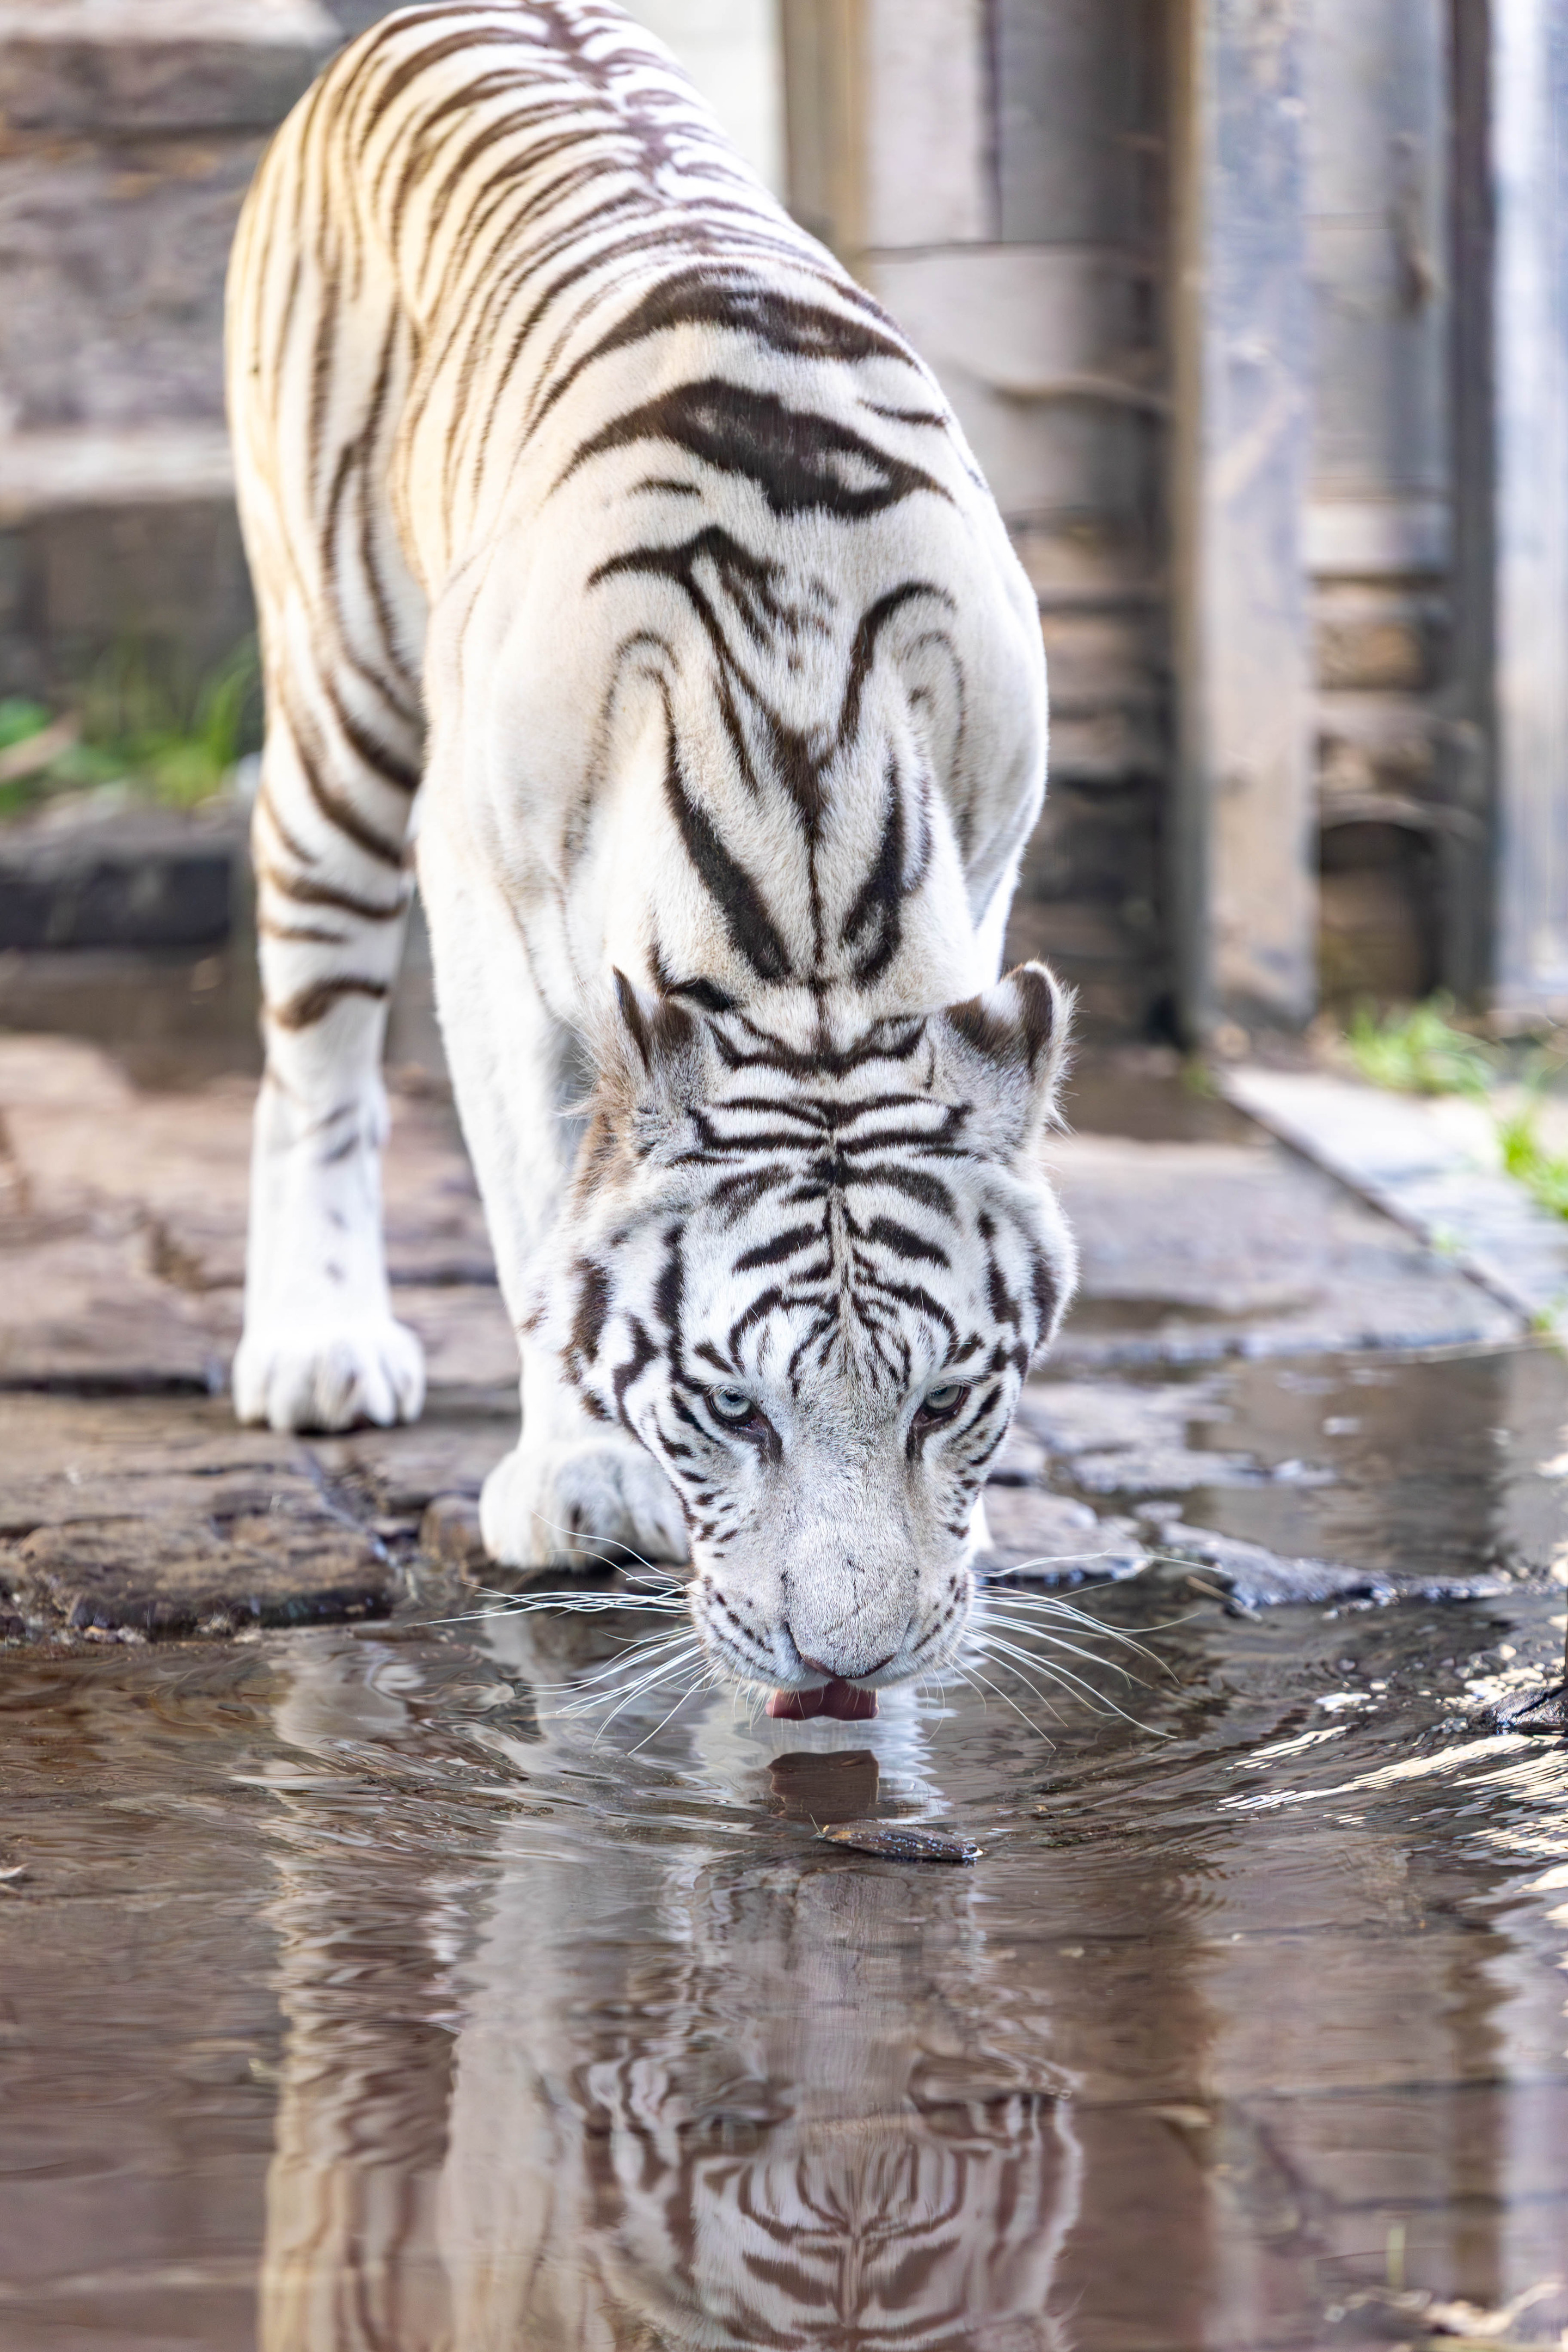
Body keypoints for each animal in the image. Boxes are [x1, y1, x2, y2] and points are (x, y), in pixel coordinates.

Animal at [226, 0, 1075, 1721]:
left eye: (945, 1402)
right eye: (733, 1409)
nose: (845, 1669)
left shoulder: (992, 855)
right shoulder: (480, 904)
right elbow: (542, 1196)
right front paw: (577, 1484)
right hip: (341, 717)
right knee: (314, 1059)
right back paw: (318, 1345)